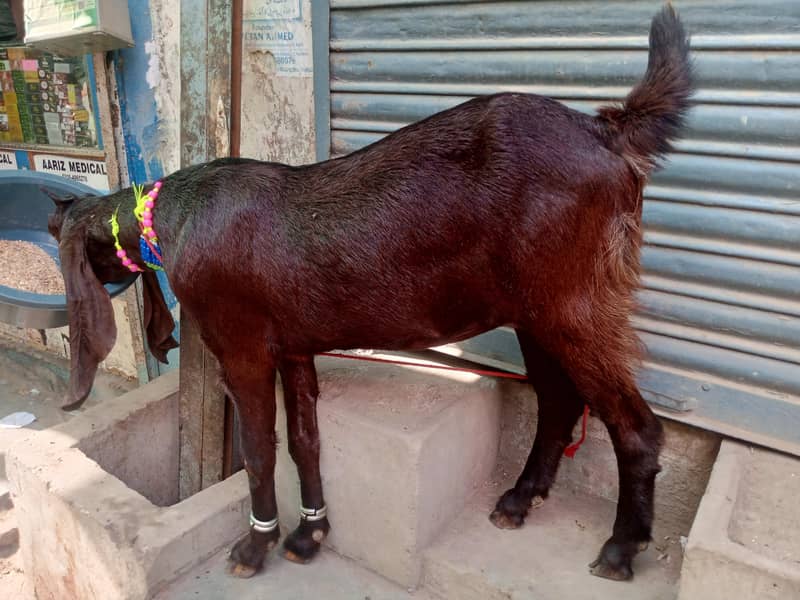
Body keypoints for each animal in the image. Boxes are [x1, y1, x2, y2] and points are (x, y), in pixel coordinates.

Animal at [48, 5, 693, 582]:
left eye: (59, 237)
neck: (167, 218)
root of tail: (608, 129)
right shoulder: (294, 347)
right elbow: (305, 439)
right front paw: (309, 534)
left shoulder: (243, 346)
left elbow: (260, 448)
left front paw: (255, 546)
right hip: (536, 311)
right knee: (558, 402)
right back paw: (518, 500)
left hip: (574, 302)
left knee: (635, 425)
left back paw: (619, 549)